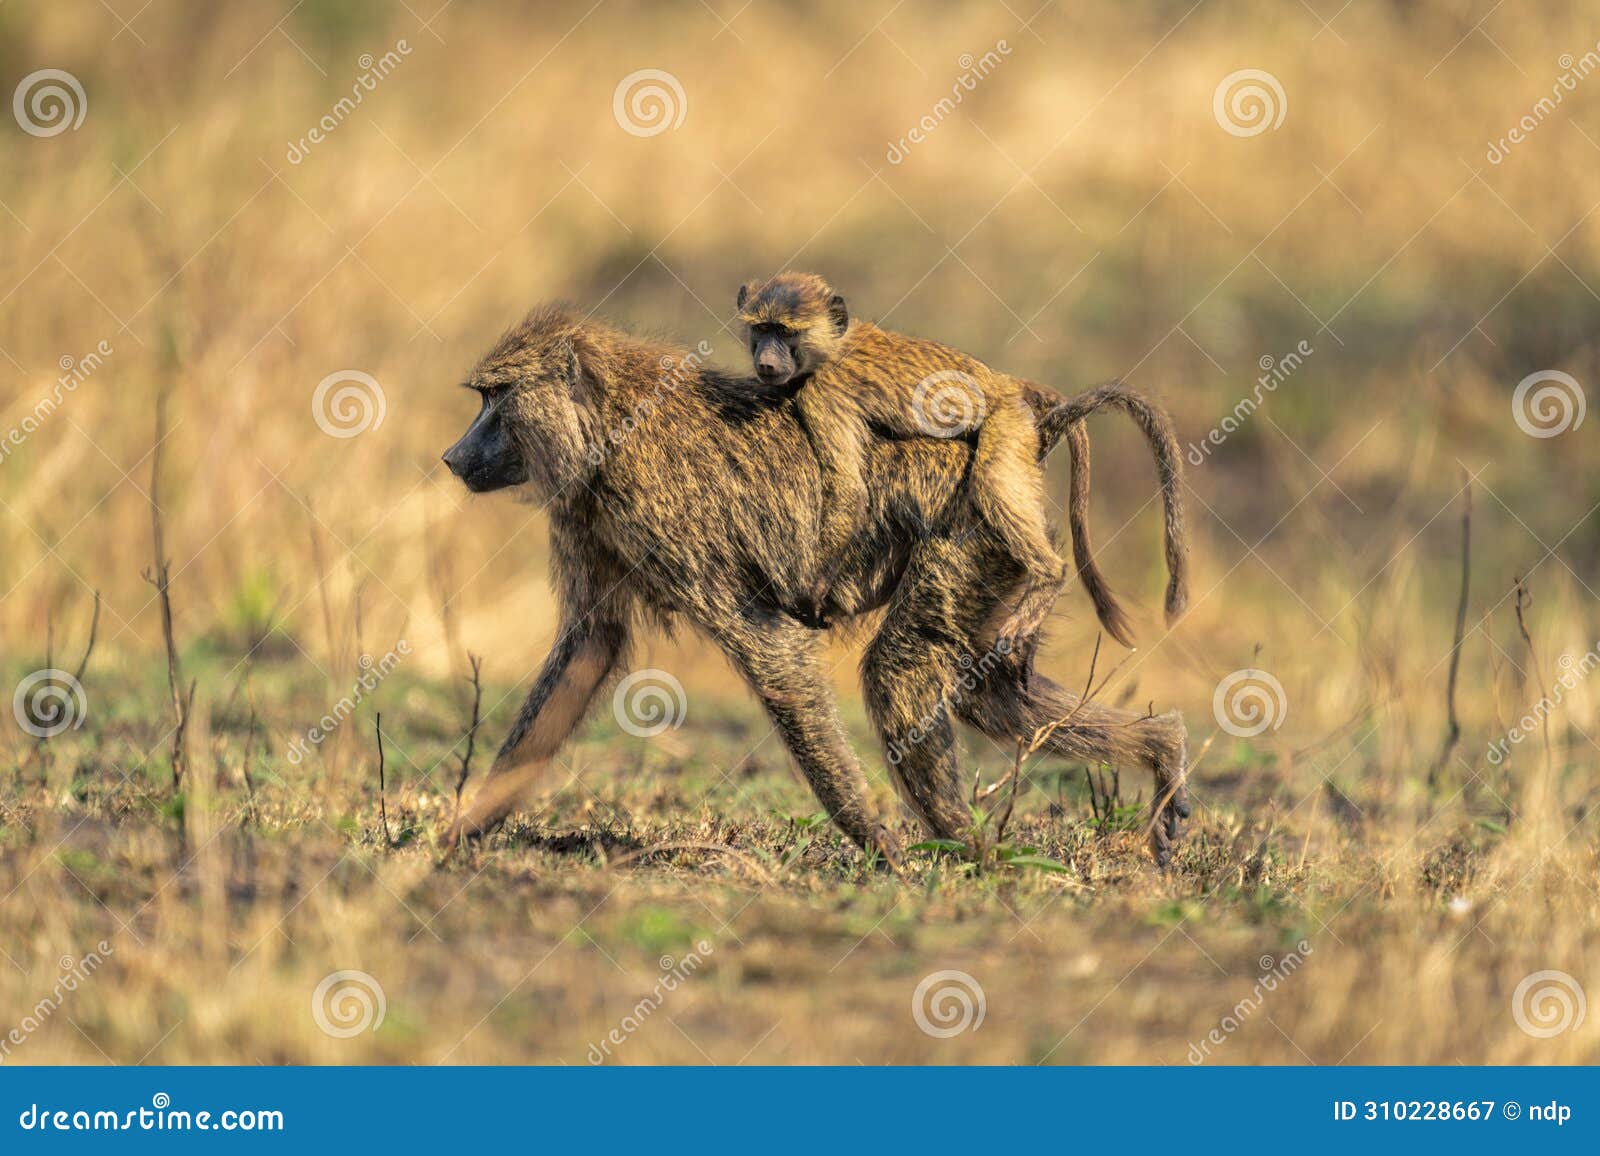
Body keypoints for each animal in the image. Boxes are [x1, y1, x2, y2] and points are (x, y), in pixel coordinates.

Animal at [737, 272, 1188, 651]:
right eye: (761, 329)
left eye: (785, 331)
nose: (767, 363)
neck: (833, 346)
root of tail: (1005, 383)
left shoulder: (823, 393)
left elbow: (849, 493)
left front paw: (812, 592)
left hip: (1008, 423)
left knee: (992, 481)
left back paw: (1048, 576)